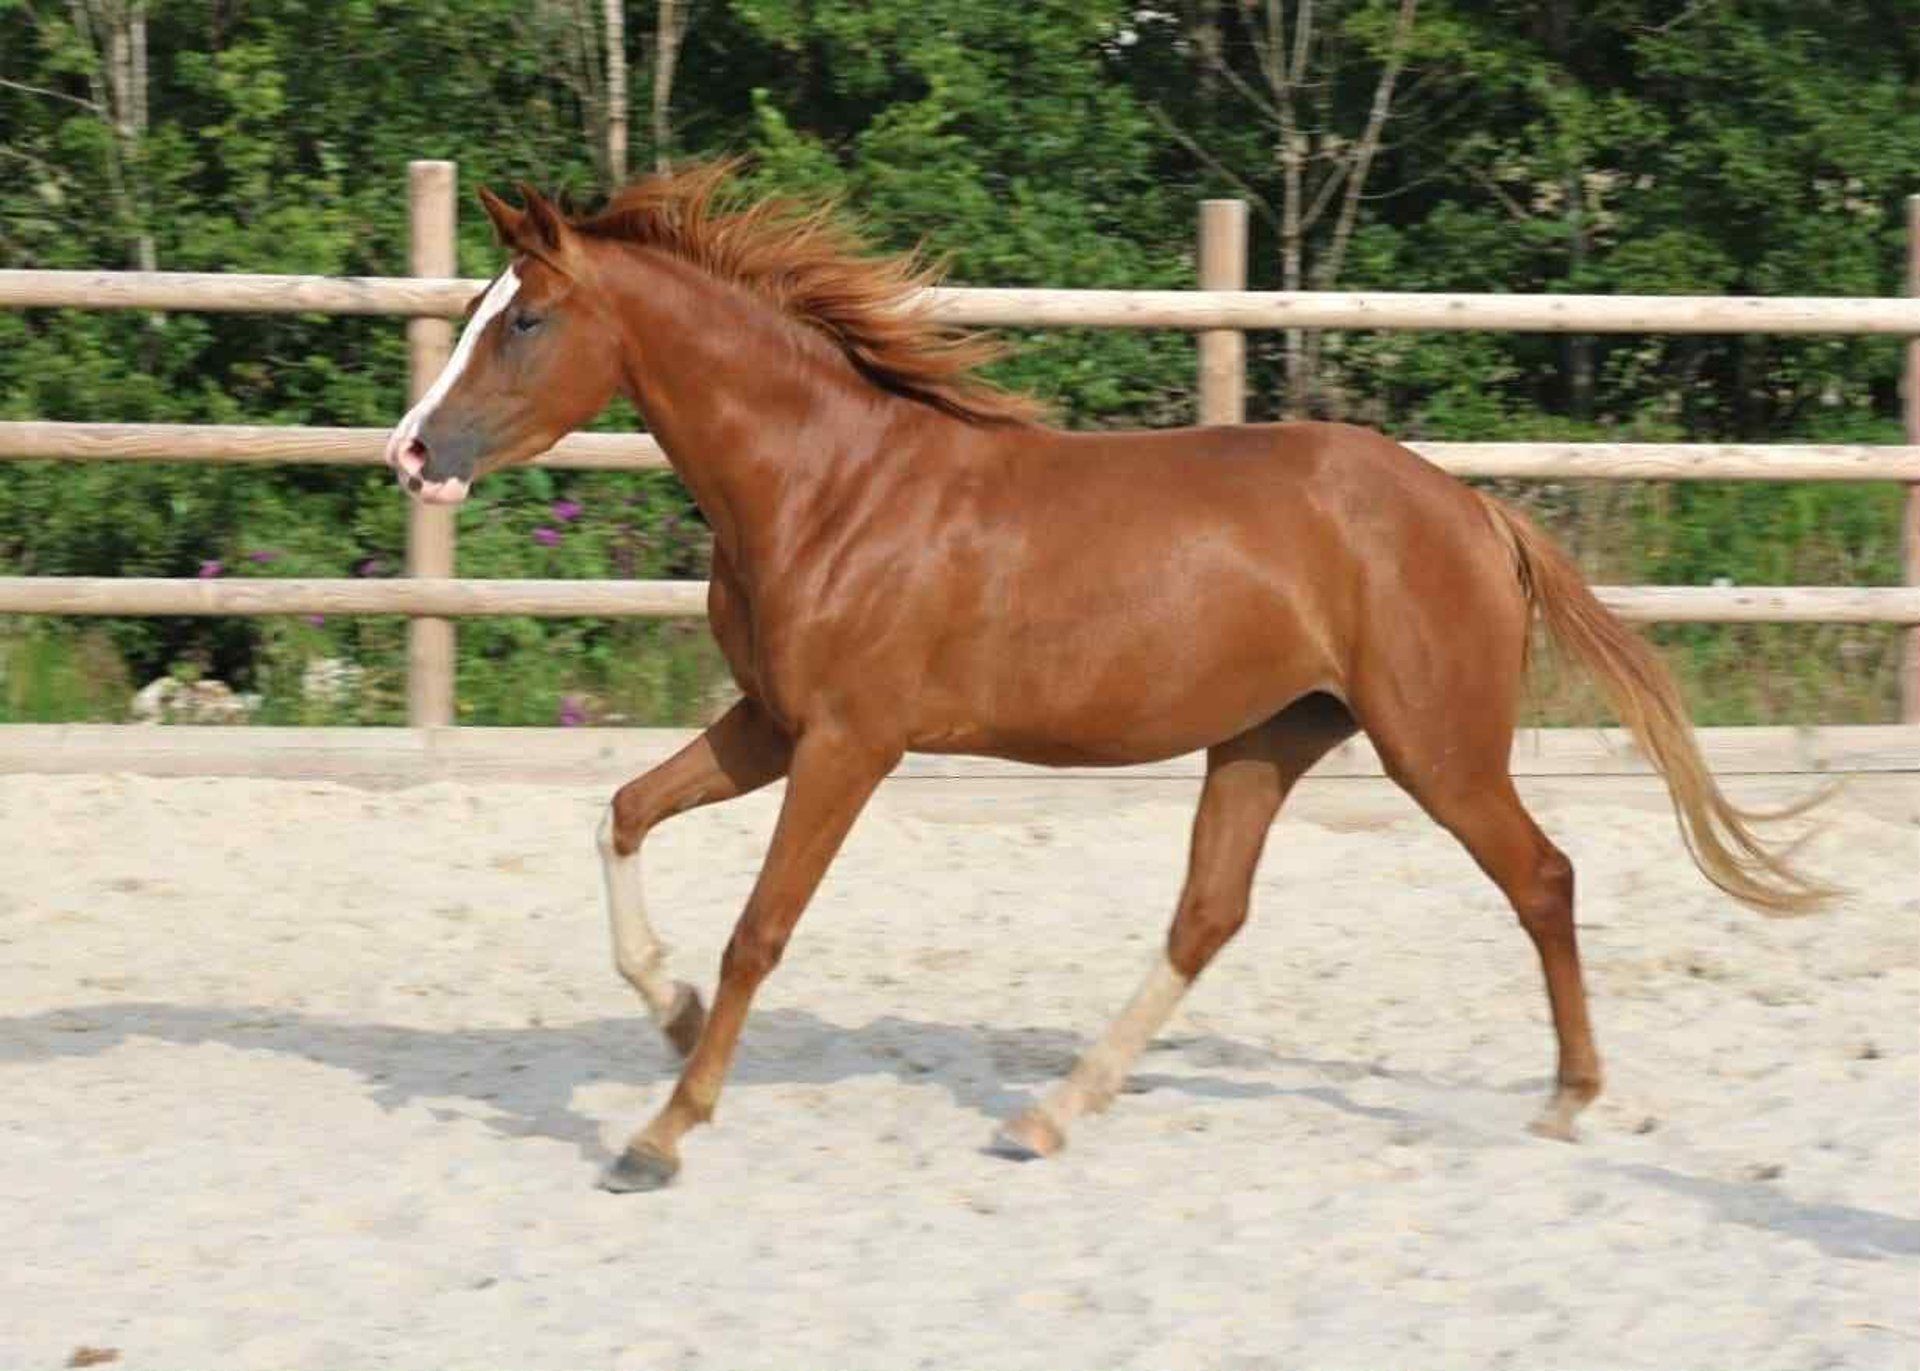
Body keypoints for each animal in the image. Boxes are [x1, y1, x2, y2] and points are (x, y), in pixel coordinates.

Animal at [382, 162, 1826, 1193]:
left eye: (524, 319)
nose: (410, 451)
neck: (827, 488)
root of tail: (1473, 508)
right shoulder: (772, 725)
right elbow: (623, 813)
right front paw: (671, 1011)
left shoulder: (848, 742)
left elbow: (761, 930)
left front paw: (661, 1132)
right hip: (1270, 737)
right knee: (1207, 915)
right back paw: (1046, 1114)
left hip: (1434, 743)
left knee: (1542, 877)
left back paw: (1567, 1099)